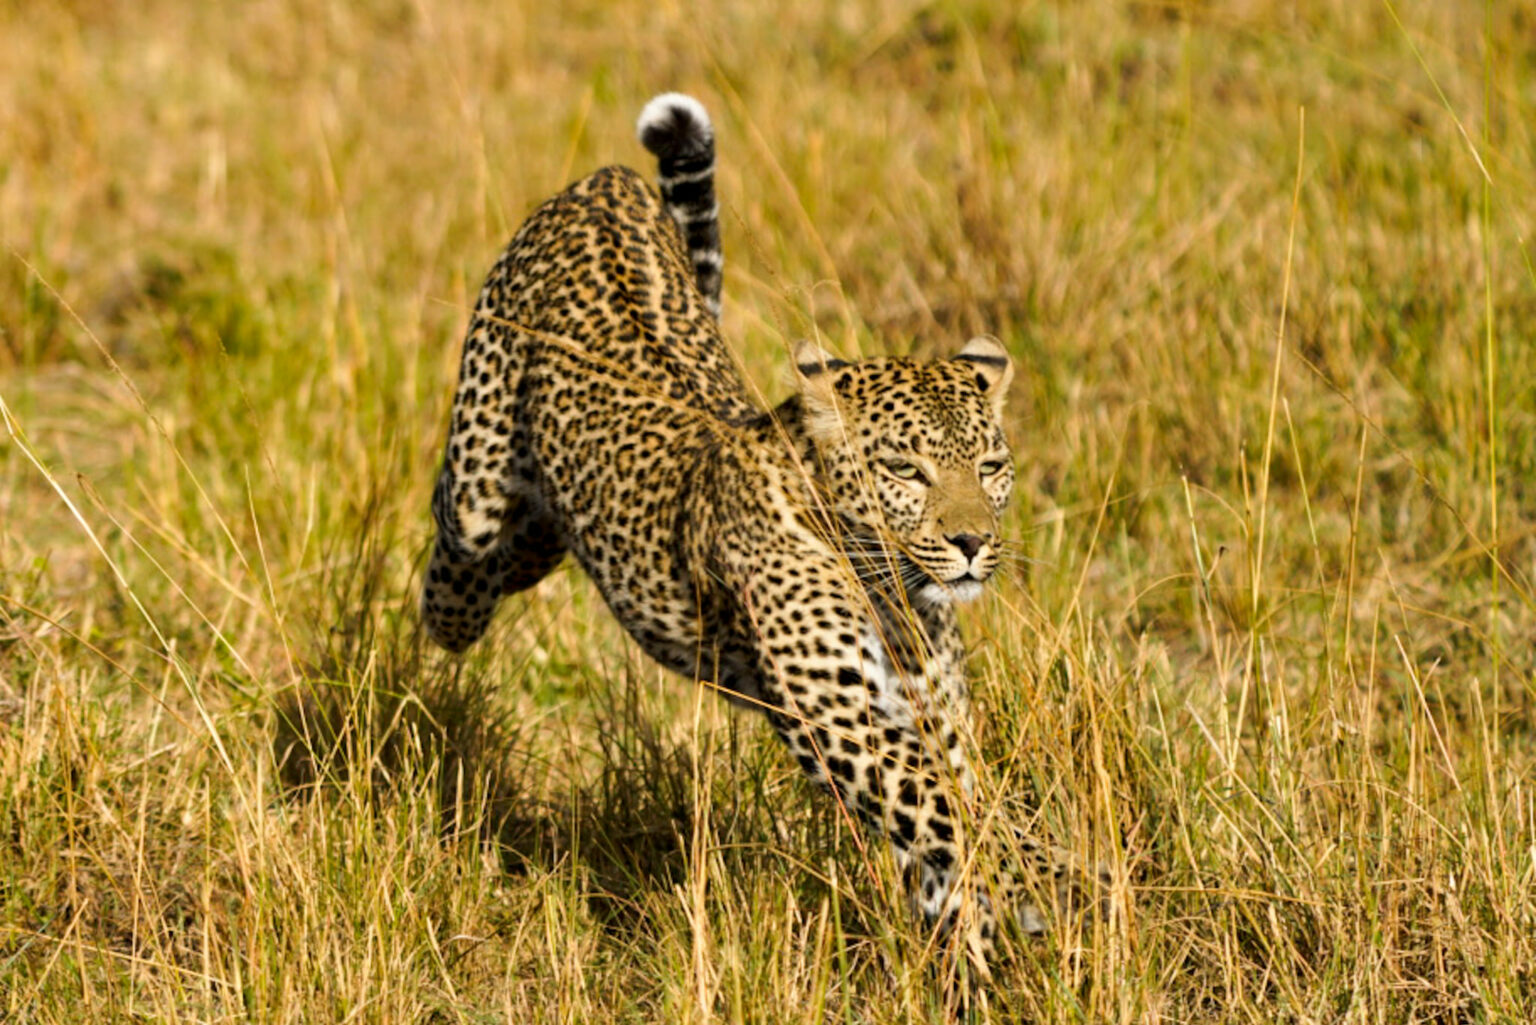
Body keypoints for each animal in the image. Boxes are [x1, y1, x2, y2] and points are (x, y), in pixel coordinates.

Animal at [421, 92, 1088, 971]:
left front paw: (1002, 920)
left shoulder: (931, 719)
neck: (889, 585)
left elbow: (957, 827)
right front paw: (1044, 881)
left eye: (990, 465)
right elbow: (950, 812)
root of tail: (606, 184)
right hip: (477, 477)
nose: (973, 542)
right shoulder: (840, 717)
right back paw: (448, 611)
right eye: (905, 469)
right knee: (456, 549)